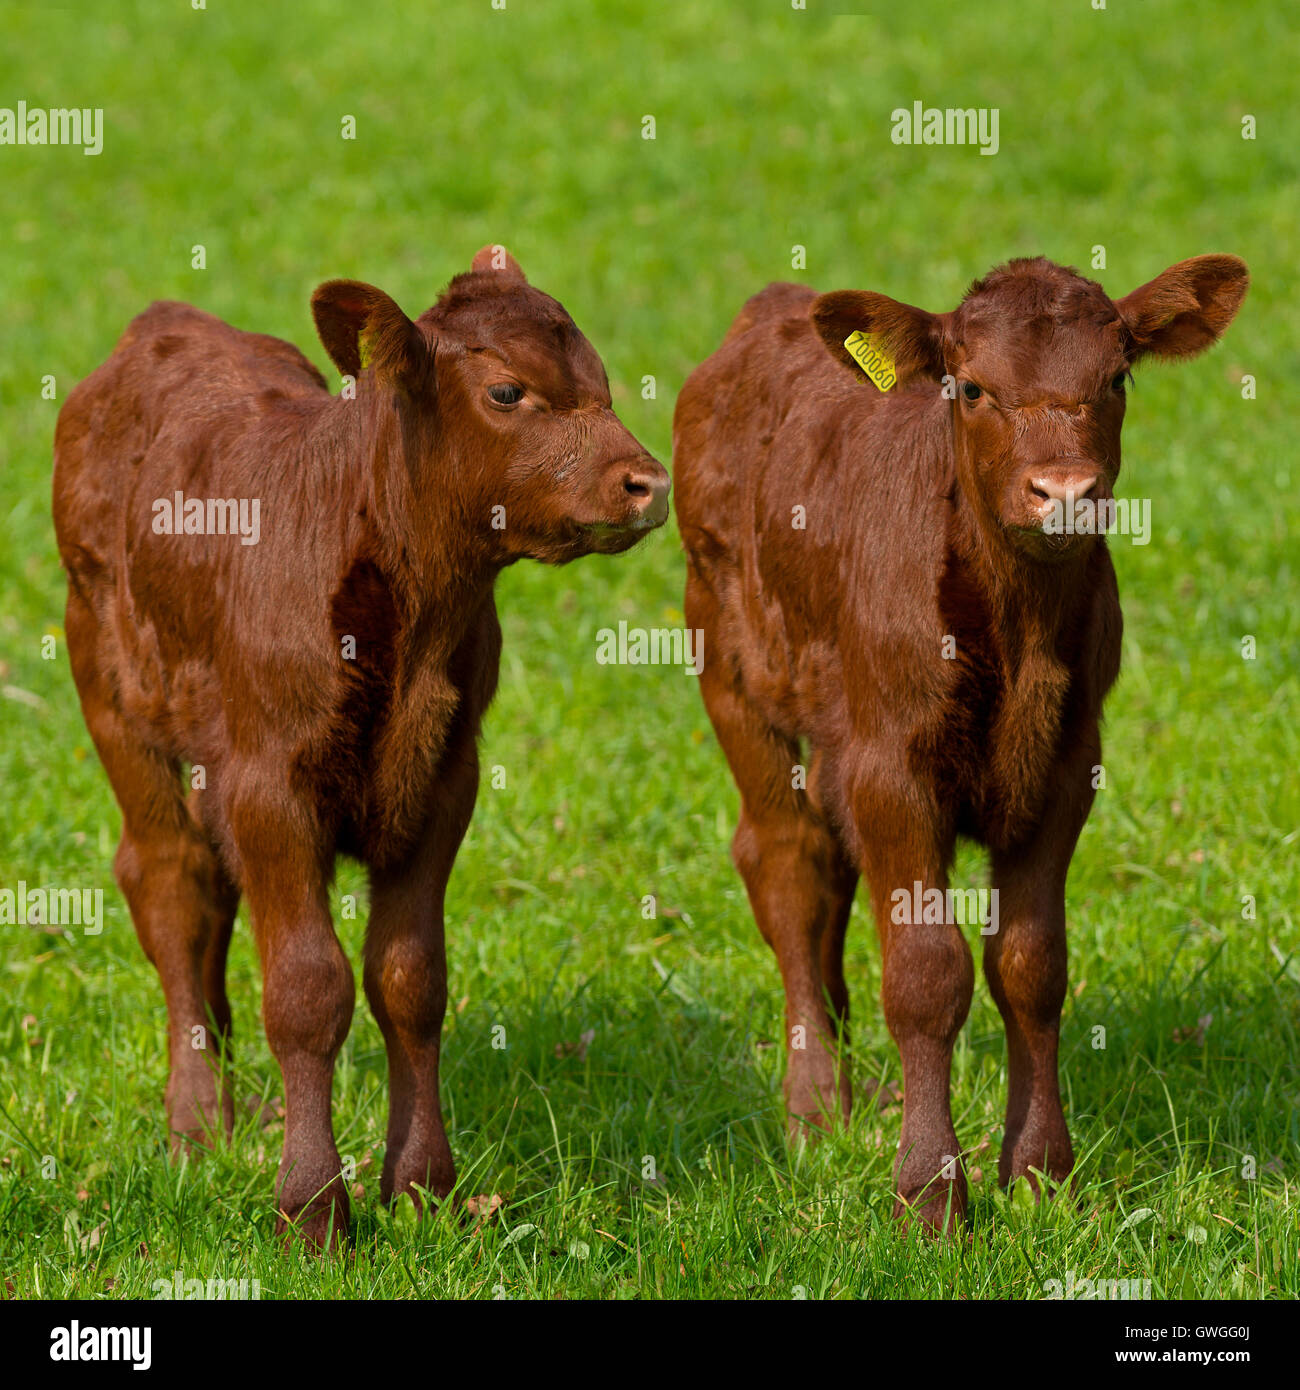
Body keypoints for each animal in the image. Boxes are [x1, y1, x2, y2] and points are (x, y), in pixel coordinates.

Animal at [52, 245, 670, 1246]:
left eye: (602, 380)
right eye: (507, 391)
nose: (648, 483)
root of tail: (163, 322)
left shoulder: (445, 778)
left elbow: (409, 979)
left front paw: (422, 1187)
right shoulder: (270, 783)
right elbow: (309, 990)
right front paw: (313, 1208)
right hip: (113, 693)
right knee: (170, 880)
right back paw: (198, 1121)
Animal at [672, 254, 1248, 1230]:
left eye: (1116, 378)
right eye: (973, 387)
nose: (1065, 492)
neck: (1018, 631)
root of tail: (772, 309)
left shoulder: (1068, 766)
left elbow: (1031, 966)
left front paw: (1043, 1173)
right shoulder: (892, 767)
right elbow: (928, 974)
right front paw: (931, 1194)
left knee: (829, 862)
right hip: (731, 661)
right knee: (786, 860)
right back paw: (816, 1105)